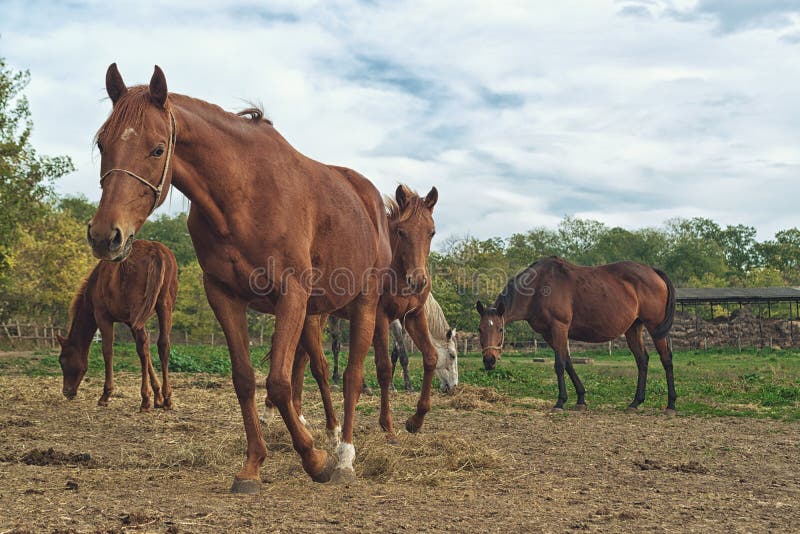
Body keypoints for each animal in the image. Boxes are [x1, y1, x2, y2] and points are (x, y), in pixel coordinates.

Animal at [57, 239, 177, 411]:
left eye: (62, 360)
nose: (67, 392)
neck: (95, 283)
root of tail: (155, 250)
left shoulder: (103, 317)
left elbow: (108, 351)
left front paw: (105, 395)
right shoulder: (131, 321)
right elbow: (147, 354)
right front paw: (158, 396)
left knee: (143, 347)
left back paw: (145, 400)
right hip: (164, 307)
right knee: (162, 345)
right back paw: (167, 398)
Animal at [88, 64, 392, 493]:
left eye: (158, 149)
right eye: (102, 144)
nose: (105, 235)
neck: (243, 195)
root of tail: (368, 198)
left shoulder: (291, 294)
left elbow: (279, 382)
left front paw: (314, 460)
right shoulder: (225, 296)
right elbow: (246, 379)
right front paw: (253, 465)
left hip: (363, 302)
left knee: (351, 376)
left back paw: (344, 457)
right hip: (315, 313)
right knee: (318, 370)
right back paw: (332, 438)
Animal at [476, 256, 677, 414]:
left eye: (500, 329)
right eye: (480, 330)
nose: (489, 360)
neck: (538, 287)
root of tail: (653, 271)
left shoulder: (559, 328)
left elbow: (559, 365)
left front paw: (560, 402)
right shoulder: (548, 333)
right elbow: (568, 363)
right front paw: (580, 399)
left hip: (655, 327)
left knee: (666, 359)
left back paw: (671, 404)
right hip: (633, 328)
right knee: (642, 360)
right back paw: (635, 402)